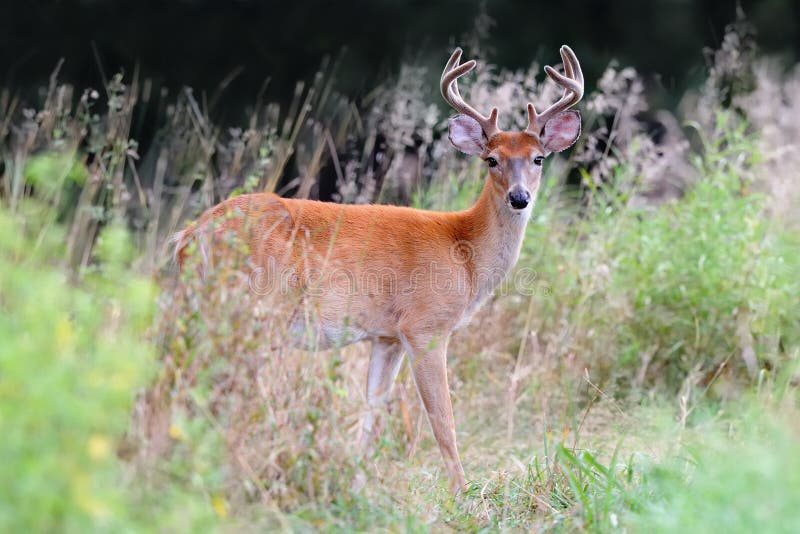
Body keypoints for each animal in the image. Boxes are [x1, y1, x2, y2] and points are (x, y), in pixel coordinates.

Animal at [173, 45, 584, 493]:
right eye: (492, 160)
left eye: (538, 158)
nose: (519, 197)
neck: (464, 251)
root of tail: (191, 234)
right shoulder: (425, 325)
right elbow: (442, 420)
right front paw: (463, 492)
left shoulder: (386, 336)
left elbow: (372, 412)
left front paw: (356, 483)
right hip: (257, 308)